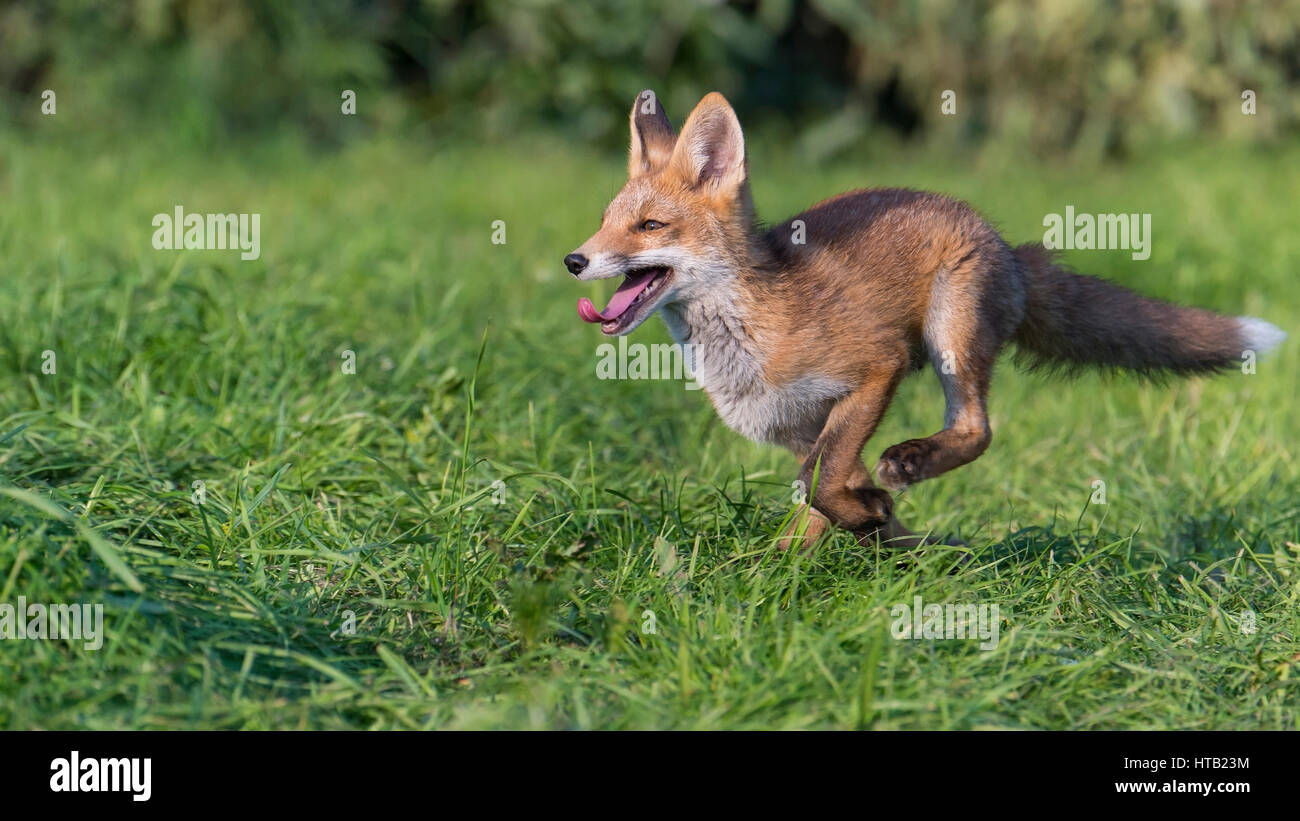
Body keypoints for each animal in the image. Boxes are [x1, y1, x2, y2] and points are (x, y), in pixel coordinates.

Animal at [565, 89, 1286, 550]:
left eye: (649, 226)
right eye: (604, 220)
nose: (575, 260)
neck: (751, 329)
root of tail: (1007, 244)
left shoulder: (874, 368)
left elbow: (821, 482)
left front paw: (866, 528)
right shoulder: (803, 428)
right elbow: (823, 491)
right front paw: (814, 557)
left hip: (951, 335)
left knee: (977, 428)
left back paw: (913, 464)